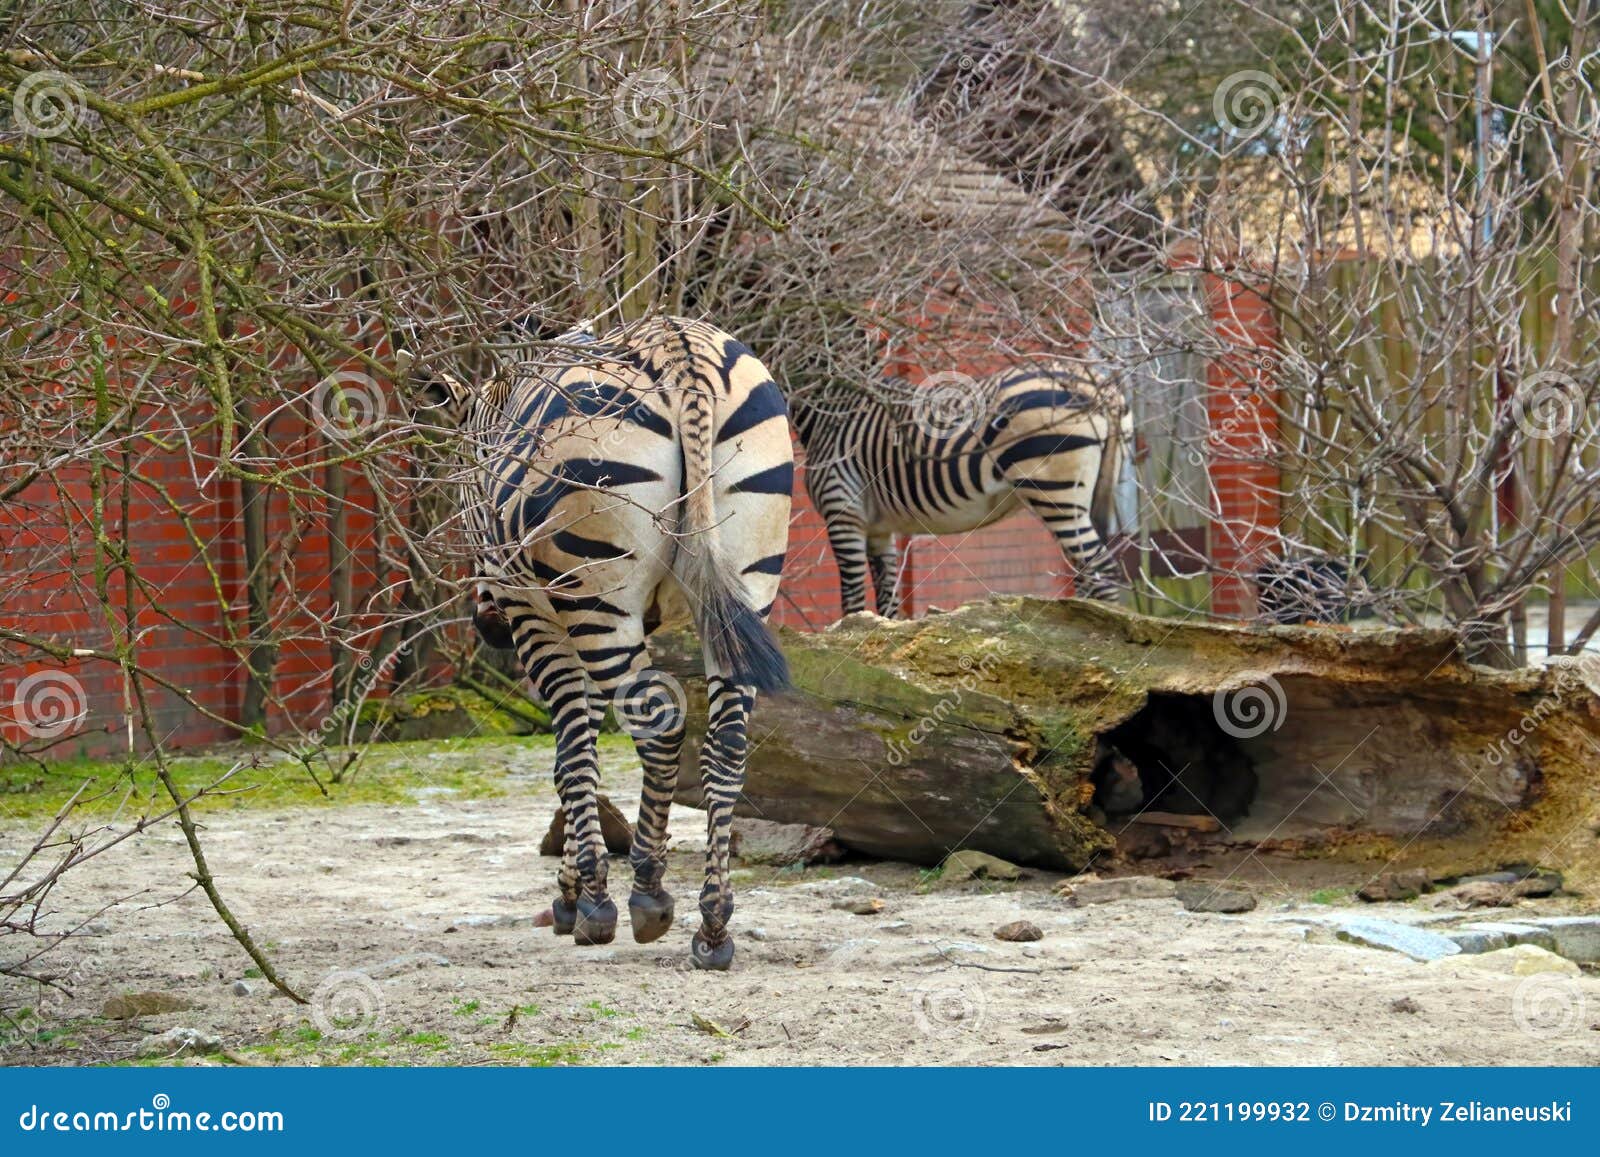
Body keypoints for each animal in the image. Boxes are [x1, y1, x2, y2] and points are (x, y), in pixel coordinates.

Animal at [420, 316, 793, 970]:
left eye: (465, 499)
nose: (485, 625)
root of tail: (678, 345)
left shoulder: (538, 617)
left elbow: (571, 755)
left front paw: (586, 900)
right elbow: (580, 748)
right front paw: (571, 891)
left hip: (595, 588)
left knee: (662, 725)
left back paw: (647, 894)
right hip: (748, 570)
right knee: (726, 741)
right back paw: (713, 926)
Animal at [791, 364, 1131, 618]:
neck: (829, 410)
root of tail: (1098, 387)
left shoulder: (842, 509)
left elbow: (852, 598)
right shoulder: (879, 529)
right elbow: (888, 600)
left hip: (1055, 493)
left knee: (1102, 570)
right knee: (1087, 574)